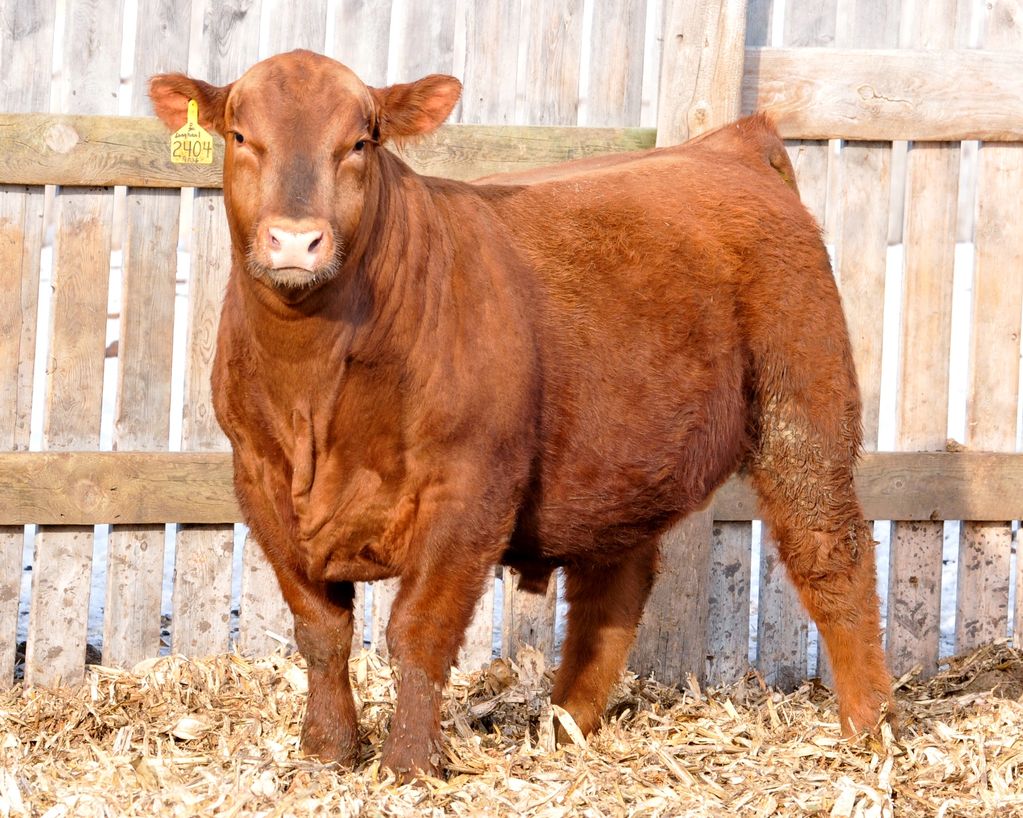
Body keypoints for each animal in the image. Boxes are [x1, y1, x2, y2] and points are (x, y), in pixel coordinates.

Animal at [150, 49, 895, 781]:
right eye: (240, 136)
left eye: (360, 141)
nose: (295, 240)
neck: (315, 394)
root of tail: (728, 148)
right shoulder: (260, 484)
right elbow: (321, 630)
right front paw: (326, 750)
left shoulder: (471, 487)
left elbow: (419, 630)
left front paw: (409, 763)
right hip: (619, 459)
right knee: (611, 593)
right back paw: (565, 728)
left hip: (802, 408)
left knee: (832, 555)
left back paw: (869, 729)